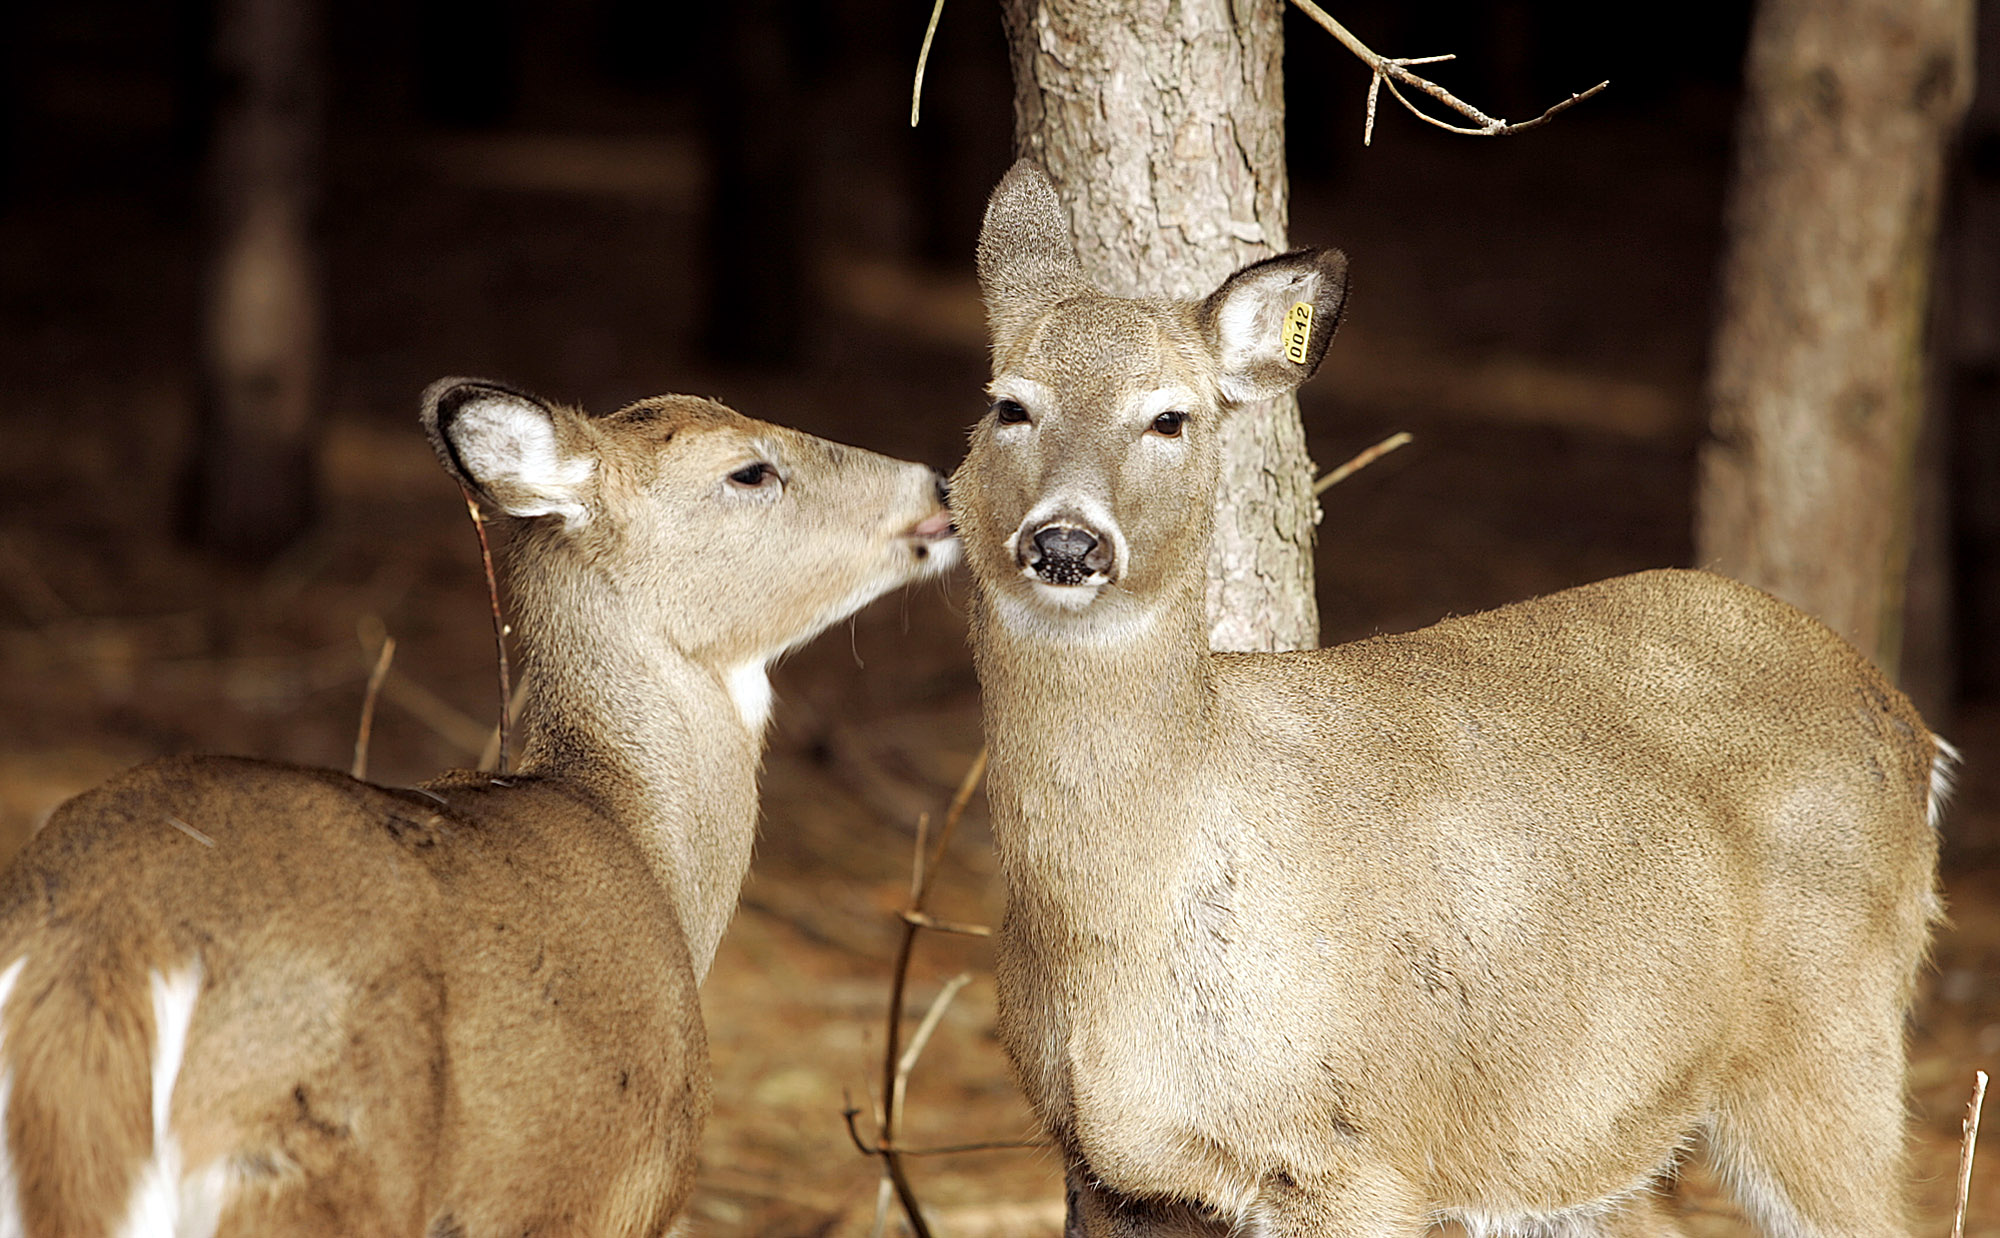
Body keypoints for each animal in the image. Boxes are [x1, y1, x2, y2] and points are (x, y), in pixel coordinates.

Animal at [0, 378, 957, 1238]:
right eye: (750, 470)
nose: (939, 489)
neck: (642, 842)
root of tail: (101, 953)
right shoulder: (619, 1196)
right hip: (318, 1164)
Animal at [950, 160, 1952, 1238]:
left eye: (1169, 415)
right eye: (1010, 404)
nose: (1065, 540)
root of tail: (1908, 720)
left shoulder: (1356, 1153)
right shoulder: (1112, 1173)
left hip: (1832, 1038)